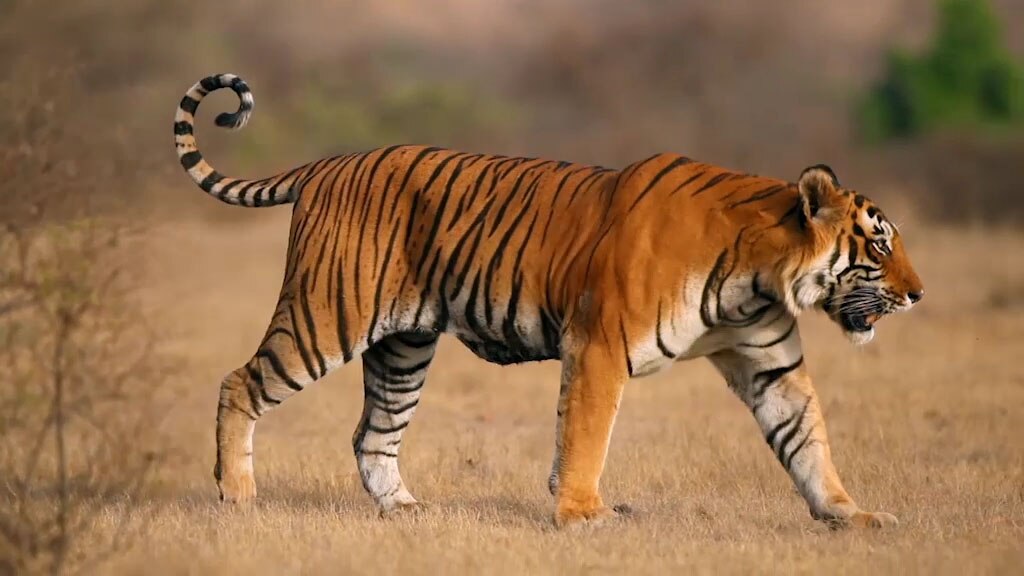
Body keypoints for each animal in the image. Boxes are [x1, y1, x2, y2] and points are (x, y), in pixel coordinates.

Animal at [174, 73, 924, 529]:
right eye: (880, 245)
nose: (919, 294)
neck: (761, 275)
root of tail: (328, 163)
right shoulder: (600, 344)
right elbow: (587, 433)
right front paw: (583, 514)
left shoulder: (769, 360)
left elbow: (808, 441)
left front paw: (850, 515)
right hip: (327, 315)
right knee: (238, 382)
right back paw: (237, 496)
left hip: (403, 346)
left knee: (372, 434)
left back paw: (407, 511)